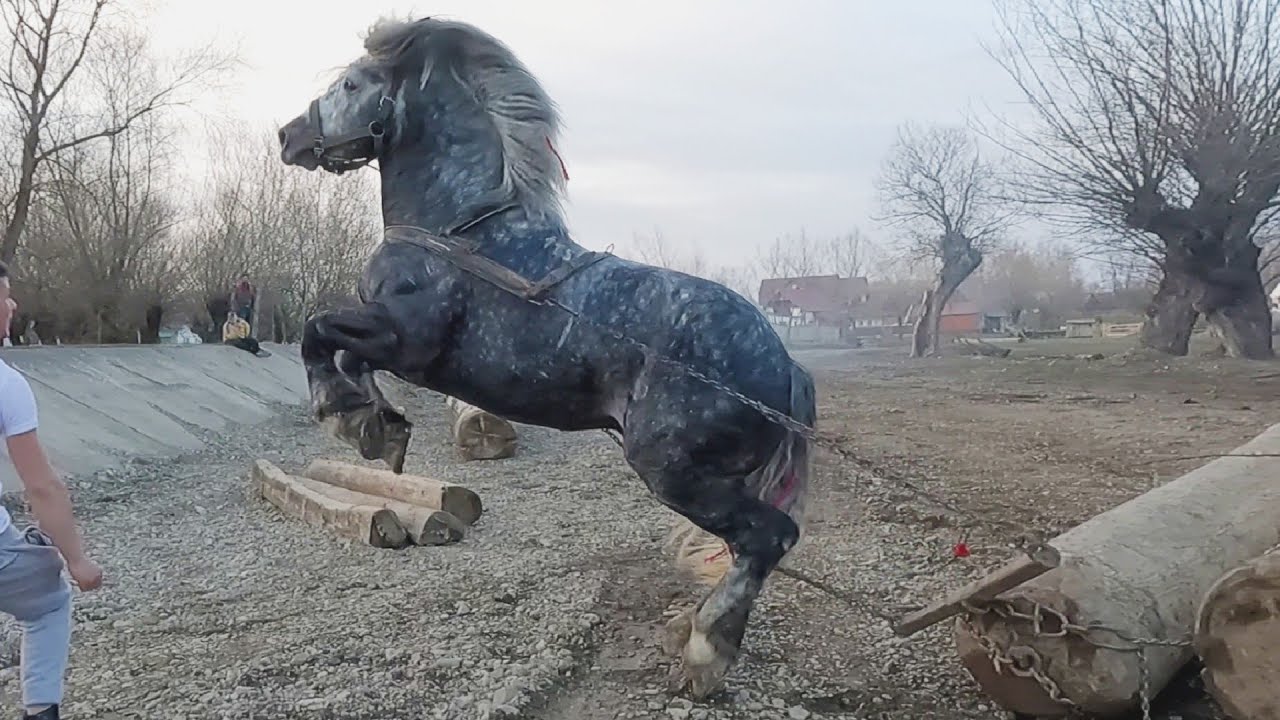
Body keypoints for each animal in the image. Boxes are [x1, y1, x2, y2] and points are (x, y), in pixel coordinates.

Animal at [275, 15, 817, 699]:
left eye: (350, 83)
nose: (288, 135)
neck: (459, 233)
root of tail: (786, 369)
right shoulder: (390, 342)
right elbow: (347, 358)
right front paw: (377, 425)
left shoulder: (408, 341)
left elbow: (319, 331)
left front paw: (347, 416)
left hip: (672, 470)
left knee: (770, 537)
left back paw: (704, 653)